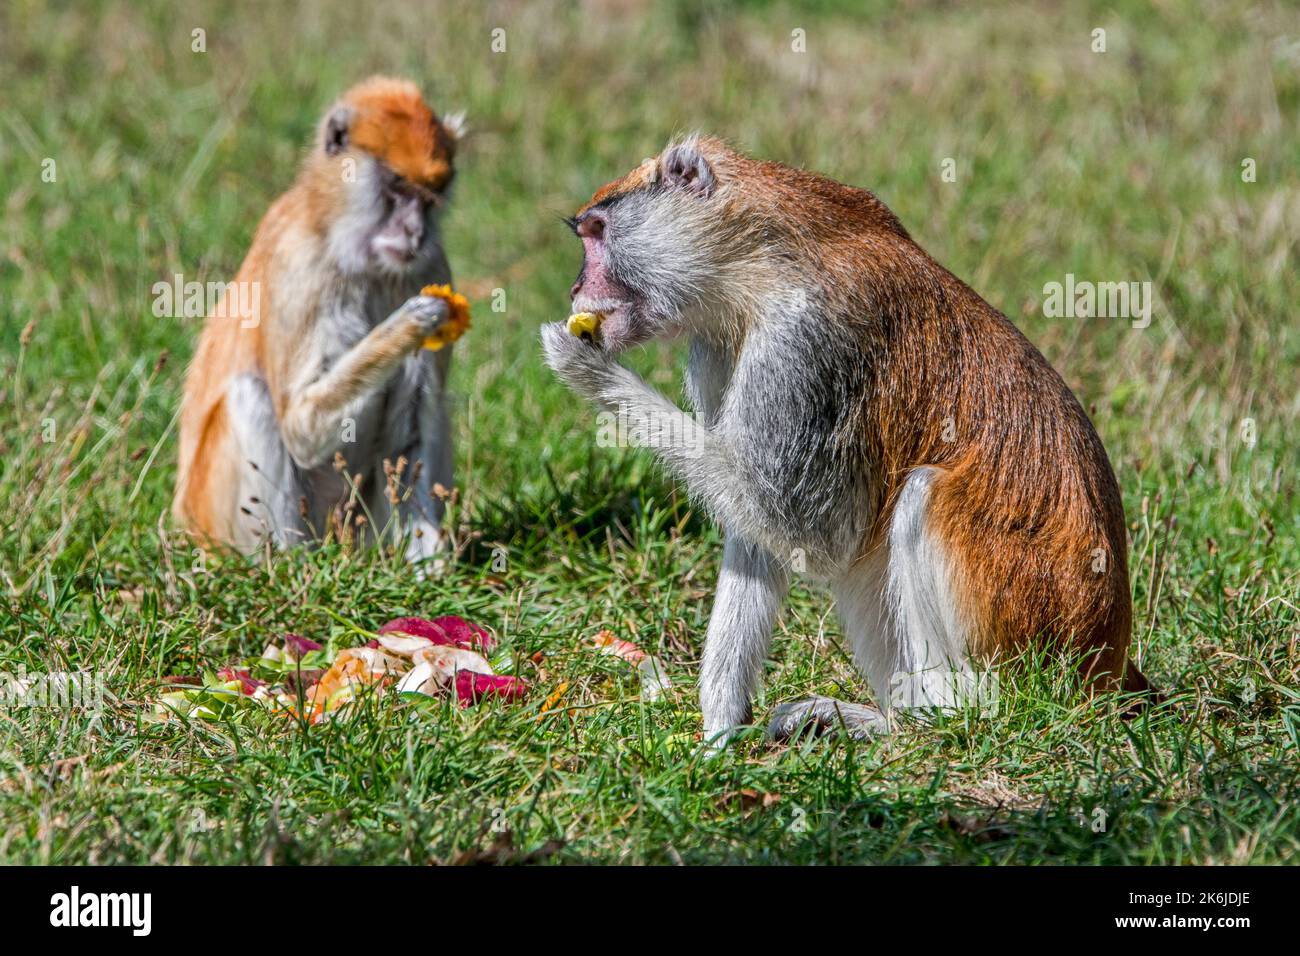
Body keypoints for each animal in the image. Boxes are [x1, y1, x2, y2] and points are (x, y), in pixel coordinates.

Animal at [174, 76, 464, 564]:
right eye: (397, 187)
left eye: (430, 197)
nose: (415, 233)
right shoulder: (302, 269)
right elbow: (301, 430)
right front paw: (408, 325)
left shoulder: (431, 266)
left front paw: (428, 559)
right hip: (215, 519)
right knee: (250, 396)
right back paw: (284, 562)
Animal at [542, 134, 1148, 745]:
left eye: (596, 231)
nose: (575, 287)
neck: (753, 260)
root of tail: (1107, 660)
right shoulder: (718, 343)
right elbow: (759, 529)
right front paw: (718, 733)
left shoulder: (806, 341)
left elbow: (807, 531)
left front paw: (583, 363)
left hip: (1035, 630)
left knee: (919, 498)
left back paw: (948, 719)